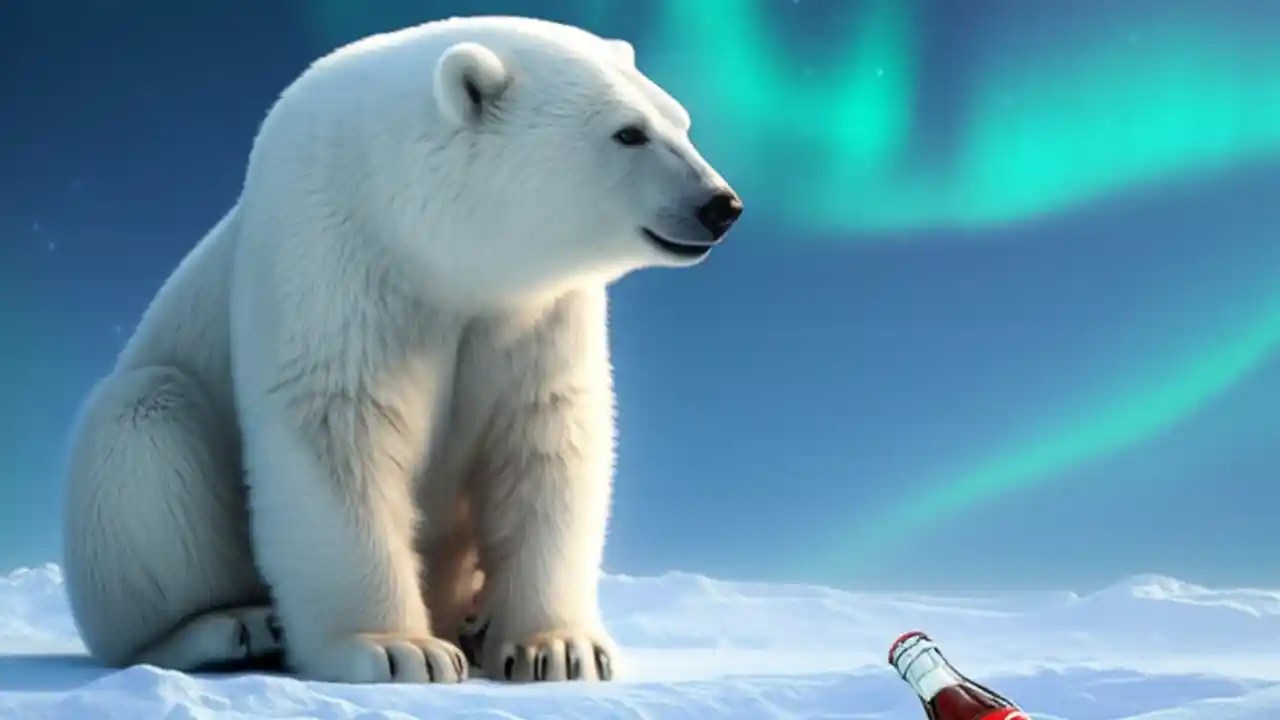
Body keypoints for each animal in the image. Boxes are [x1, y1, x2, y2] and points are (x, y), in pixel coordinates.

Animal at [59, 15, 742, 684]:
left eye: (681, 121)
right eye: (629, 133)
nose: (722, 205)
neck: (429, 239)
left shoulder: (540, 311)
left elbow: (547, 436)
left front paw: (558, 648)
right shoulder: (336, 257)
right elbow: (339, 429)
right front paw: (399, 650)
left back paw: (473, 617)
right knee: (144, 425)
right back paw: (233, 627)